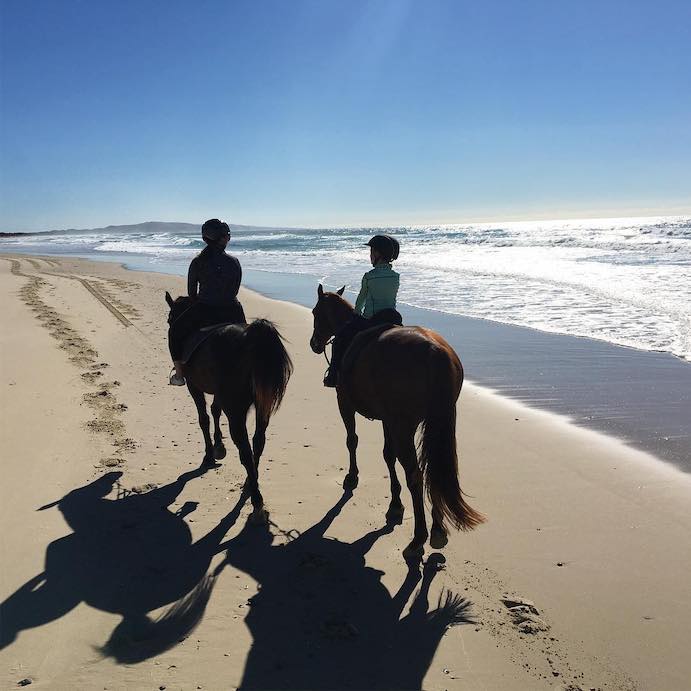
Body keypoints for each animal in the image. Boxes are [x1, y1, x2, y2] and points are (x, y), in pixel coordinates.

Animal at [165, 293, 292, 523]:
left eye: (170, 318)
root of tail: (251, 340)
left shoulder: (194, 386)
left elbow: (204, 418)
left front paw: (209, 454)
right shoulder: (219, 394)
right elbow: (215, 411)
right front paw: (219, 447)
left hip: (235, 410)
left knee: (245, 449)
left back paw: (257, 503)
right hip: (262, 406)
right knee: (258, 441)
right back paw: (251, 482)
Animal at [309, 285, 484, 559]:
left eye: (316, 312)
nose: (314, 343)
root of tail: (435, 352)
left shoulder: (345, 403)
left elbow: (352, 440)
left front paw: (352, 477)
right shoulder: (387, 419)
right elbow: (387, 455)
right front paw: (395, 505)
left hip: (404, 426)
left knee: (415, 474)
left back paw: (418, 538)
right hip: (437, 421)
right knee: (433, 470)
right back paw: (437, 531)